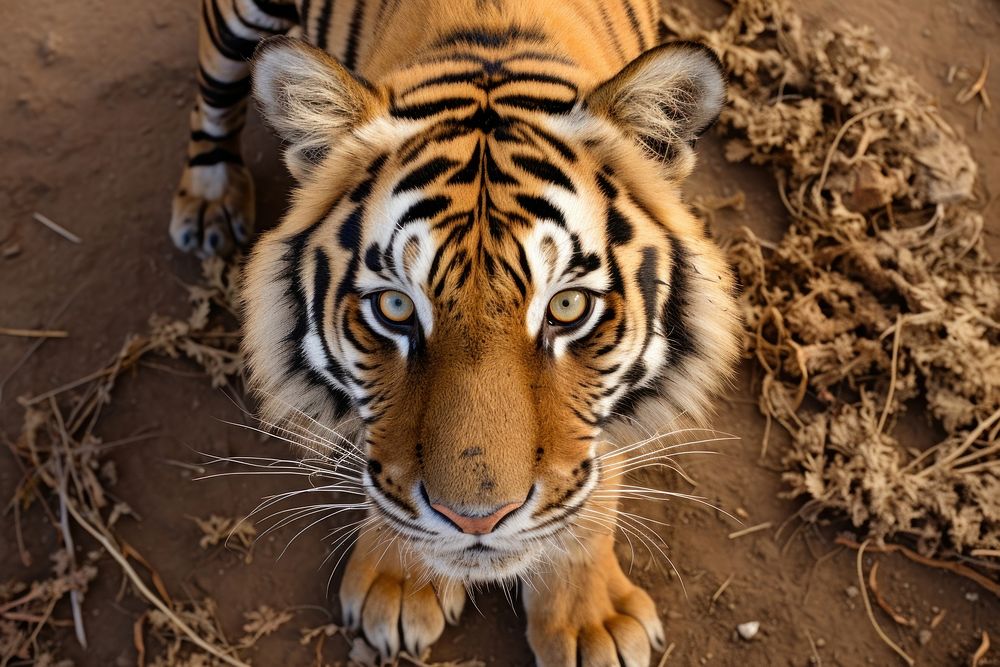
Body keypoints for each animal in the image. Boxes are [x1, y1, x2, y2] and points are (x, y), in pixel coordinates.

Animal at [170, 0, 742, 664]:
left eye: (568, 306)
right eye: (395, 307)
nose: (476, 520)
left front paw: (588, 621)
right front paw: (397, 585)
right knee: (213, 91)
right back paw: (208, 202)